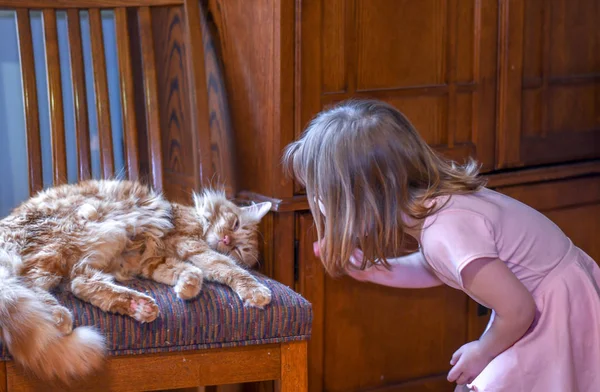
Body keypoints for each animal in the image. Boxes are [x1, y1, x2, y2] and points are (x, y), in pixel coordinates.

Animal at [0, 180, 272, 382]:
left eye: (240, 250)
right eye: (235, 224)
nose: (227, 241)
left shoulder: (153, 261)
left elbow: (190, 272)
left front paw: (187, 287)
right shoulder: (189, 243)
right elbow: (226, 268)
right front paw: (257, 291)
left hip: (82, 256)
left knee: (80, 285)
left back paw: (139, 306)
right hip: (72, 238)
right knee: (33, 282)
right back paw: (58, 317)